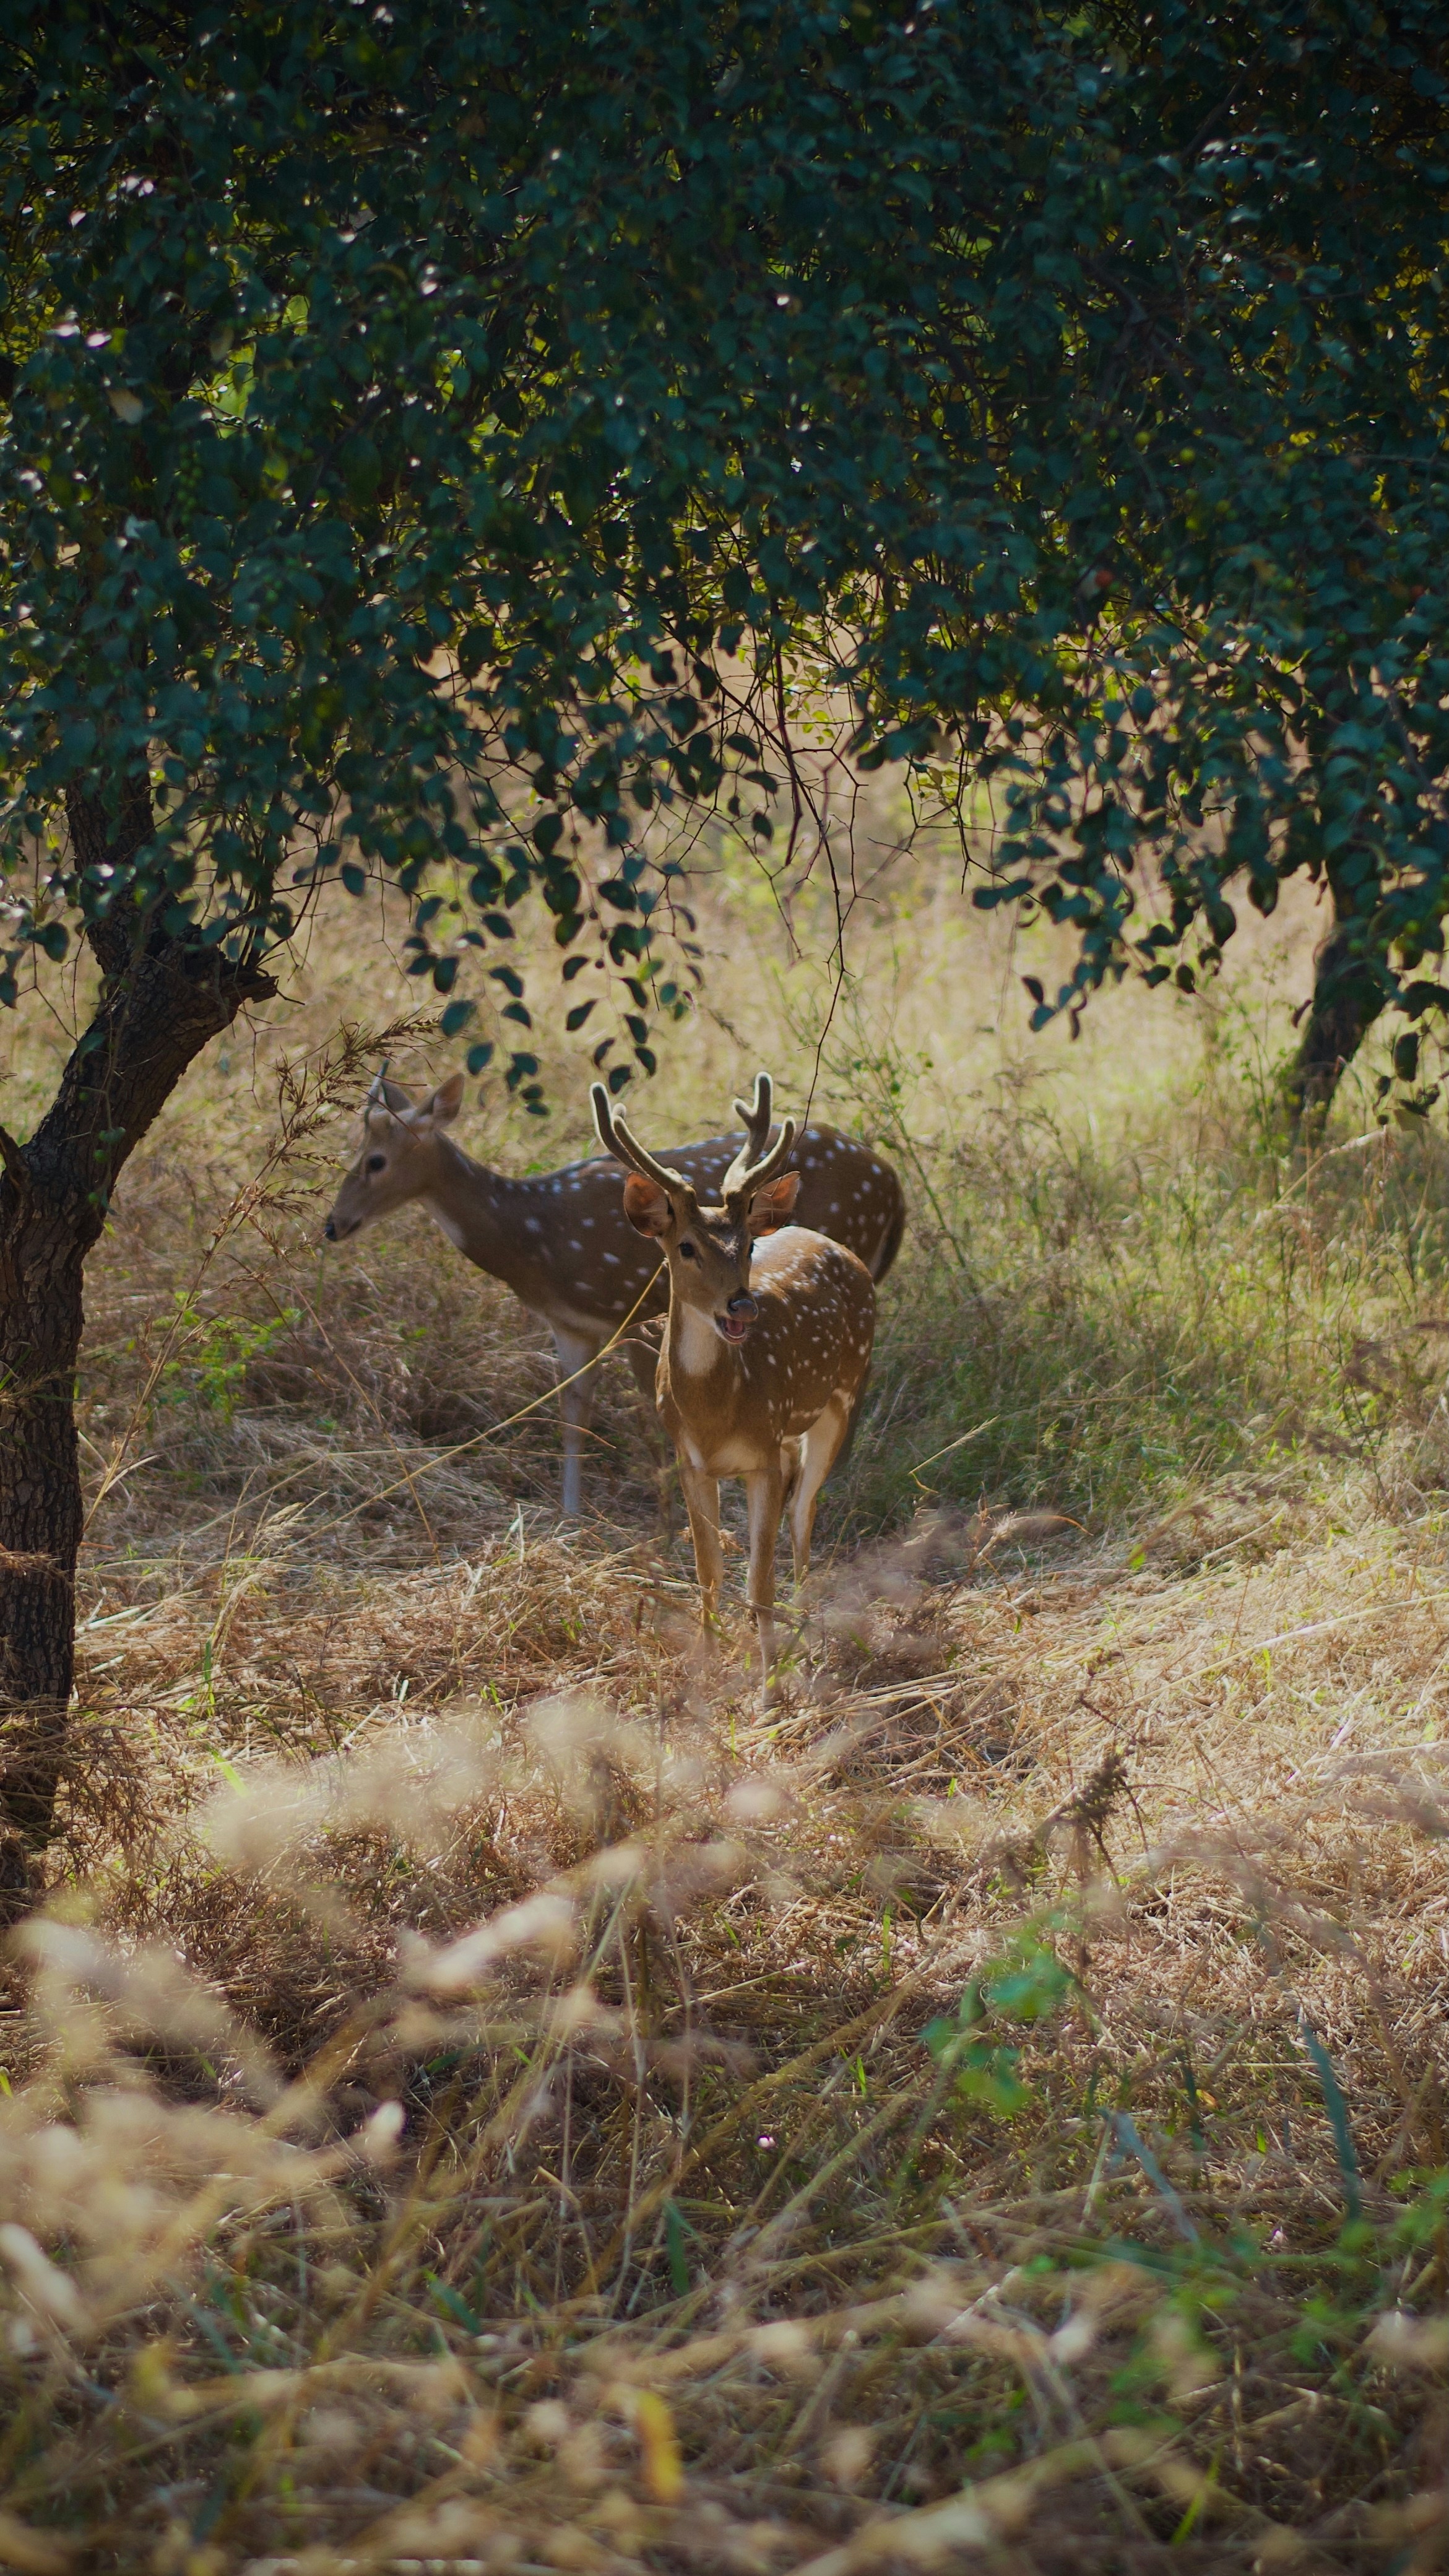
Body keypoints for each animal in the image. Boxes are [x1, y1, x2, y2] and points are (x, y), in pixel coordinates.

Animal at [323, 1069, 903, 1519]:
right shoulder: (572, 1326)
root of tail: (894, 1185)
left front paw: (669, 1520)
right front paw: (570, 1515)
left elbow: (657, 1418)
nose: (332, 1225)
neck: (534, 1239)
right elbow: (573, 1416)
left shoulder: (635, 1310)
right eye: (354, 1151)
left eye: (375, 1160)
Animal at [591, 1077, 876, 1695]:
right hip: (793, 1430)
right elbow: (710, 1572)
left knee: (803, 1515)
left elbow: (760, 1576)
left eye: (746, 1246)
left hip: (842, 1399)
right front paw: (704, 1664)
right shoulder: (690, 1461)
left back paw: (805, 1627)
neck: (715, 1413)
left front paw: (769, 1684)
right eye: (686, 1247)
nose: (741, 1305)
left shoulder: (761, 1456)